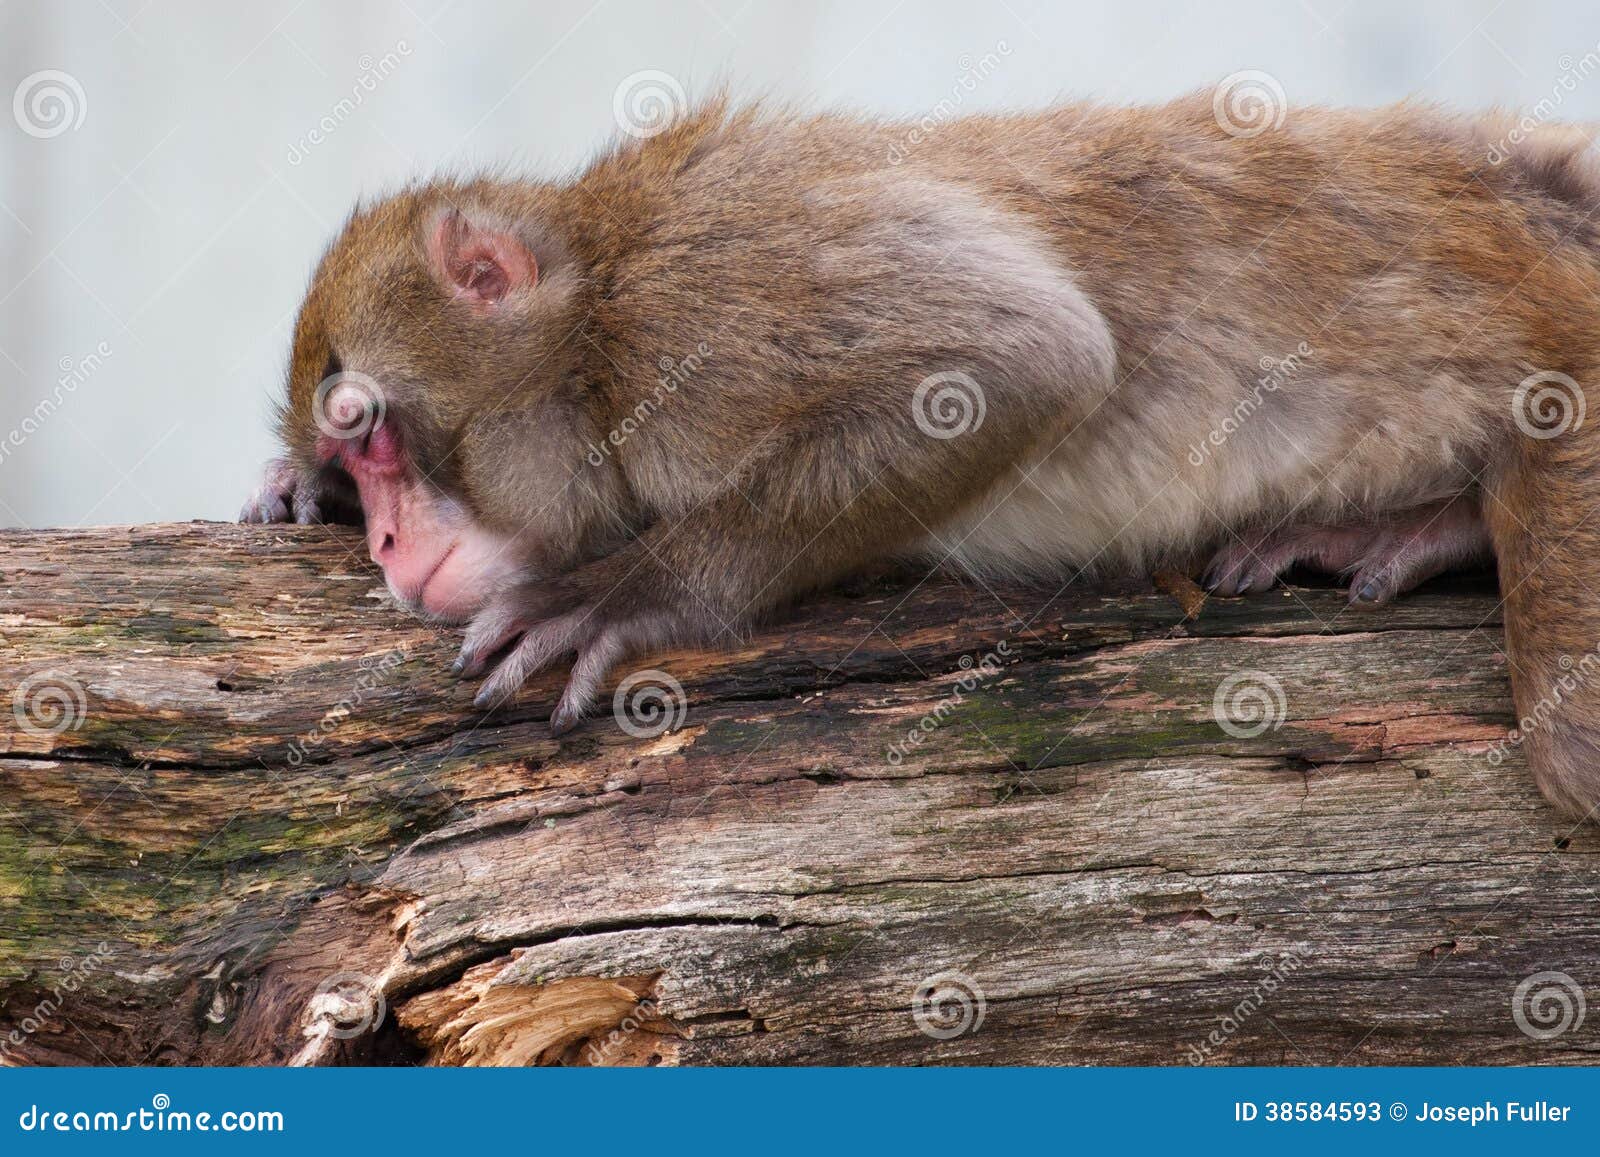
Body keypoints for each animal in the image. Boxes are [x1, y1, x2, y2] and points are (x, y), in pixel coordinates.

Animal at [242, 93, 1600, 818]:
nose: (383, 540)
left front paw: (635, 589)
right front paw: (286, 489)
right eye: (347, 455)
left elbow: (1025, 353)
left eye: (371, 427)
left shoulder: (710, 284)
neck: (595, 335)